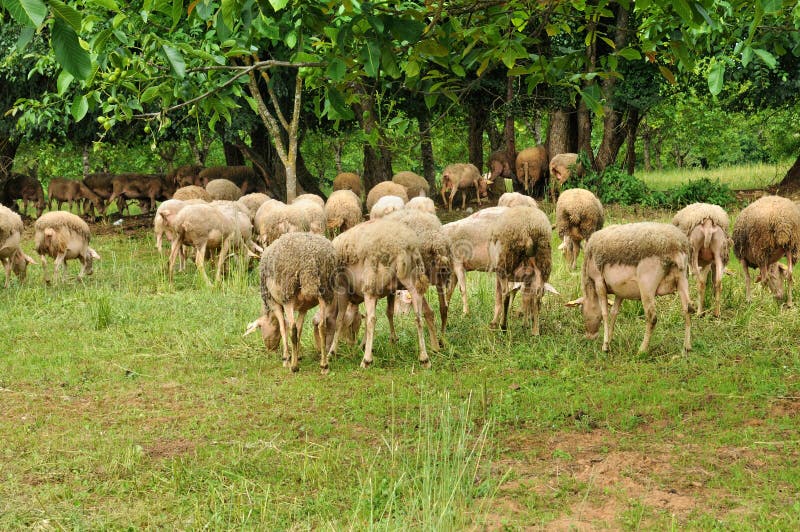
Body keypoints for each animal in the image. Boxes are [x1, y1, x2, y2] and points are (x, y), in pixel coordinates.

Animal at [257, 232, 338, 373]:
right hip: (324, 291)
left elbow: (284, 328)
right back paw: (324, 366)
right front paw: (298, 355)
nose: (270, 349)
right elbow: (300, 329)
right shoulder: (303, 308)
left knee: (292, 328)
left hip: (287, 294)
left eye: (261, 328)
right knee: (322, 326)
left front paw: (287, 358)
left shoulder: (275, 304)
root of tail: (310, 259)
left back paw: (294, 367)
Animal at [329, 218, 438, 368]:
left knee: (372, 320)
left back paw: (366, 360)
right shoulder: (389, 290)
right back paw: (427, 356)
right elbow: (388, 312)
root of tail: (402, 246)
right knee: (420, 313)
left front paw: (332, 352)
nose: (349, 344)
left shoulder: (343, 289)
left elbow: (340, 320)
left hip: (371, 283)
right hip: (410, 277)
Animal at [488, 206, 553, 335]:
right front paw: (526, 323)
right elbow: (527, 296)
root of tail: (526, 230)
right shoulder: (527, 278)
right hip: (543, 262)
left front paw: (494, 323)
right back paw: (535, 331)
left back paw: (503, 326)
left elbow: (498, 297)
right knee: (538, 295)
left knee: (505, 294)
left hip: (504, 262)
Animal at [572, 222, 692, 354]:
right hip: (682, 279)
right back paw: (687, 347)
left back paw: (642, 350)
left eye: (582, 311)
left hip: (647, 286)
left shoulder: (599, 281)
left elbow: (604, 313)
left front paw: (605, 345)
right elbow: (614, 312)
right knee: (688, 309)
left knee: (652, 317)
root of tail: (676, 245)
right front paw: (610, 339)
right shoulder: (620, 291)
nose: (590, 337)